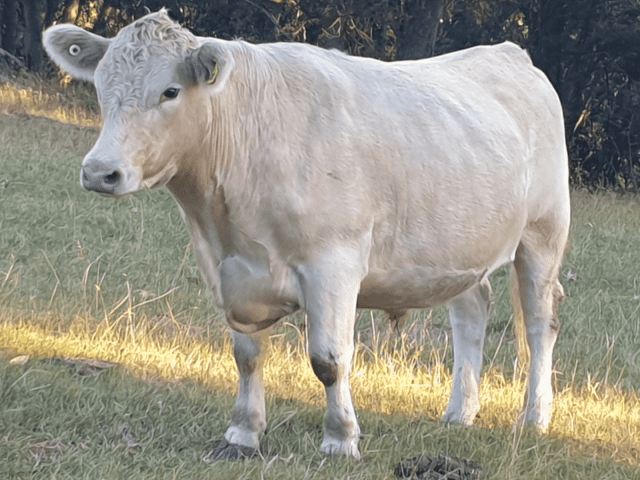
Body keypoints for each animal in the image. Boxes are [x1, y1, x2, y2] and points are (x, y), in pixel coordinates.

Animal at [43, 9, 570, 460]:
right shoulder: (226, 268)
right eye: (101, 85)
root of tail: (509, 53)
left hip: (543, 236)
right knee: (472, 311)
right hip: (460, 245)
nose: (100, 171)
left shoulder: (333, 263)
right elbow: (247, 355)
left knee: (540, 324)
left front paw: (340, 440)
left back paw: (534, 417)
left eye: (170, 91)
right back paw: (460, 411)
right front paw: (242, 434)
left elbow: (328, 359)